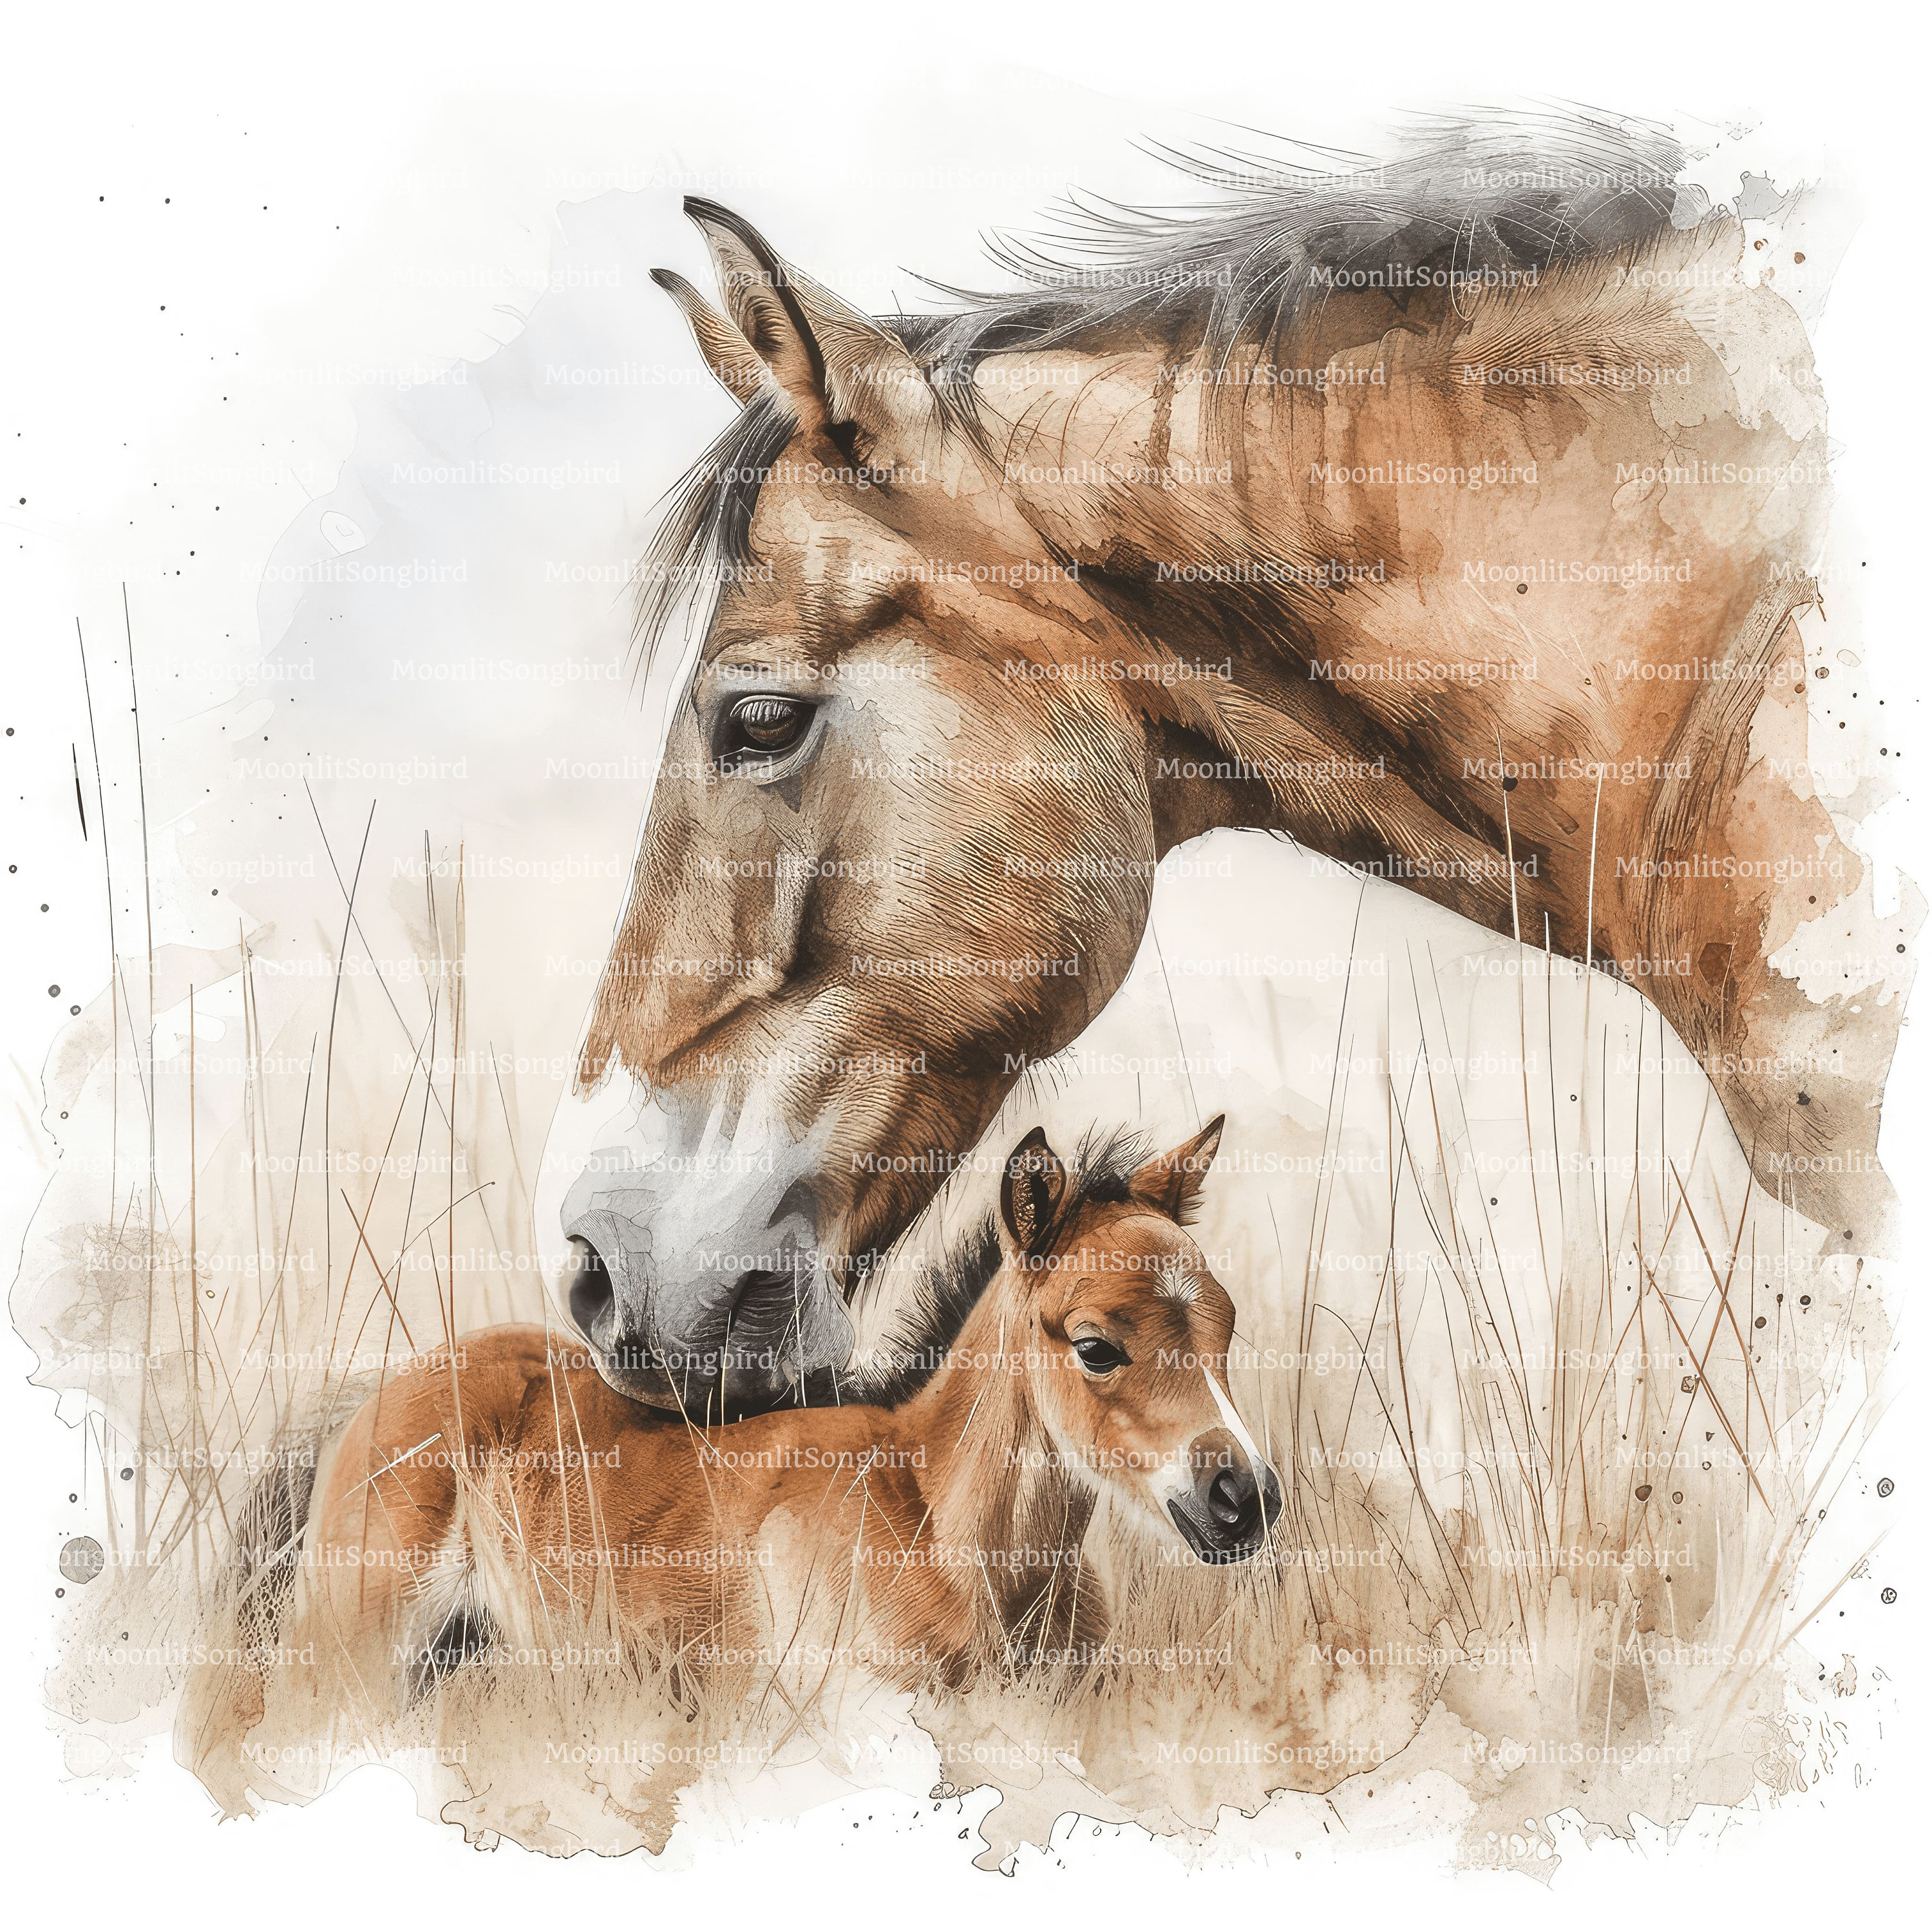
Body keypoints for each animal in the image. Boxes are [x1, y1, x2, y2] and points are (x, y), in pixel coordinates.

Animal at [269, 1117, 1279, 1712]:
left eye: (1227, 1323)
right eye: (1096, 1345)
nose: (1245, 1499)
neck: (944, 1537)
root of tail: (376, 1398)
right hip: (355, 1660)